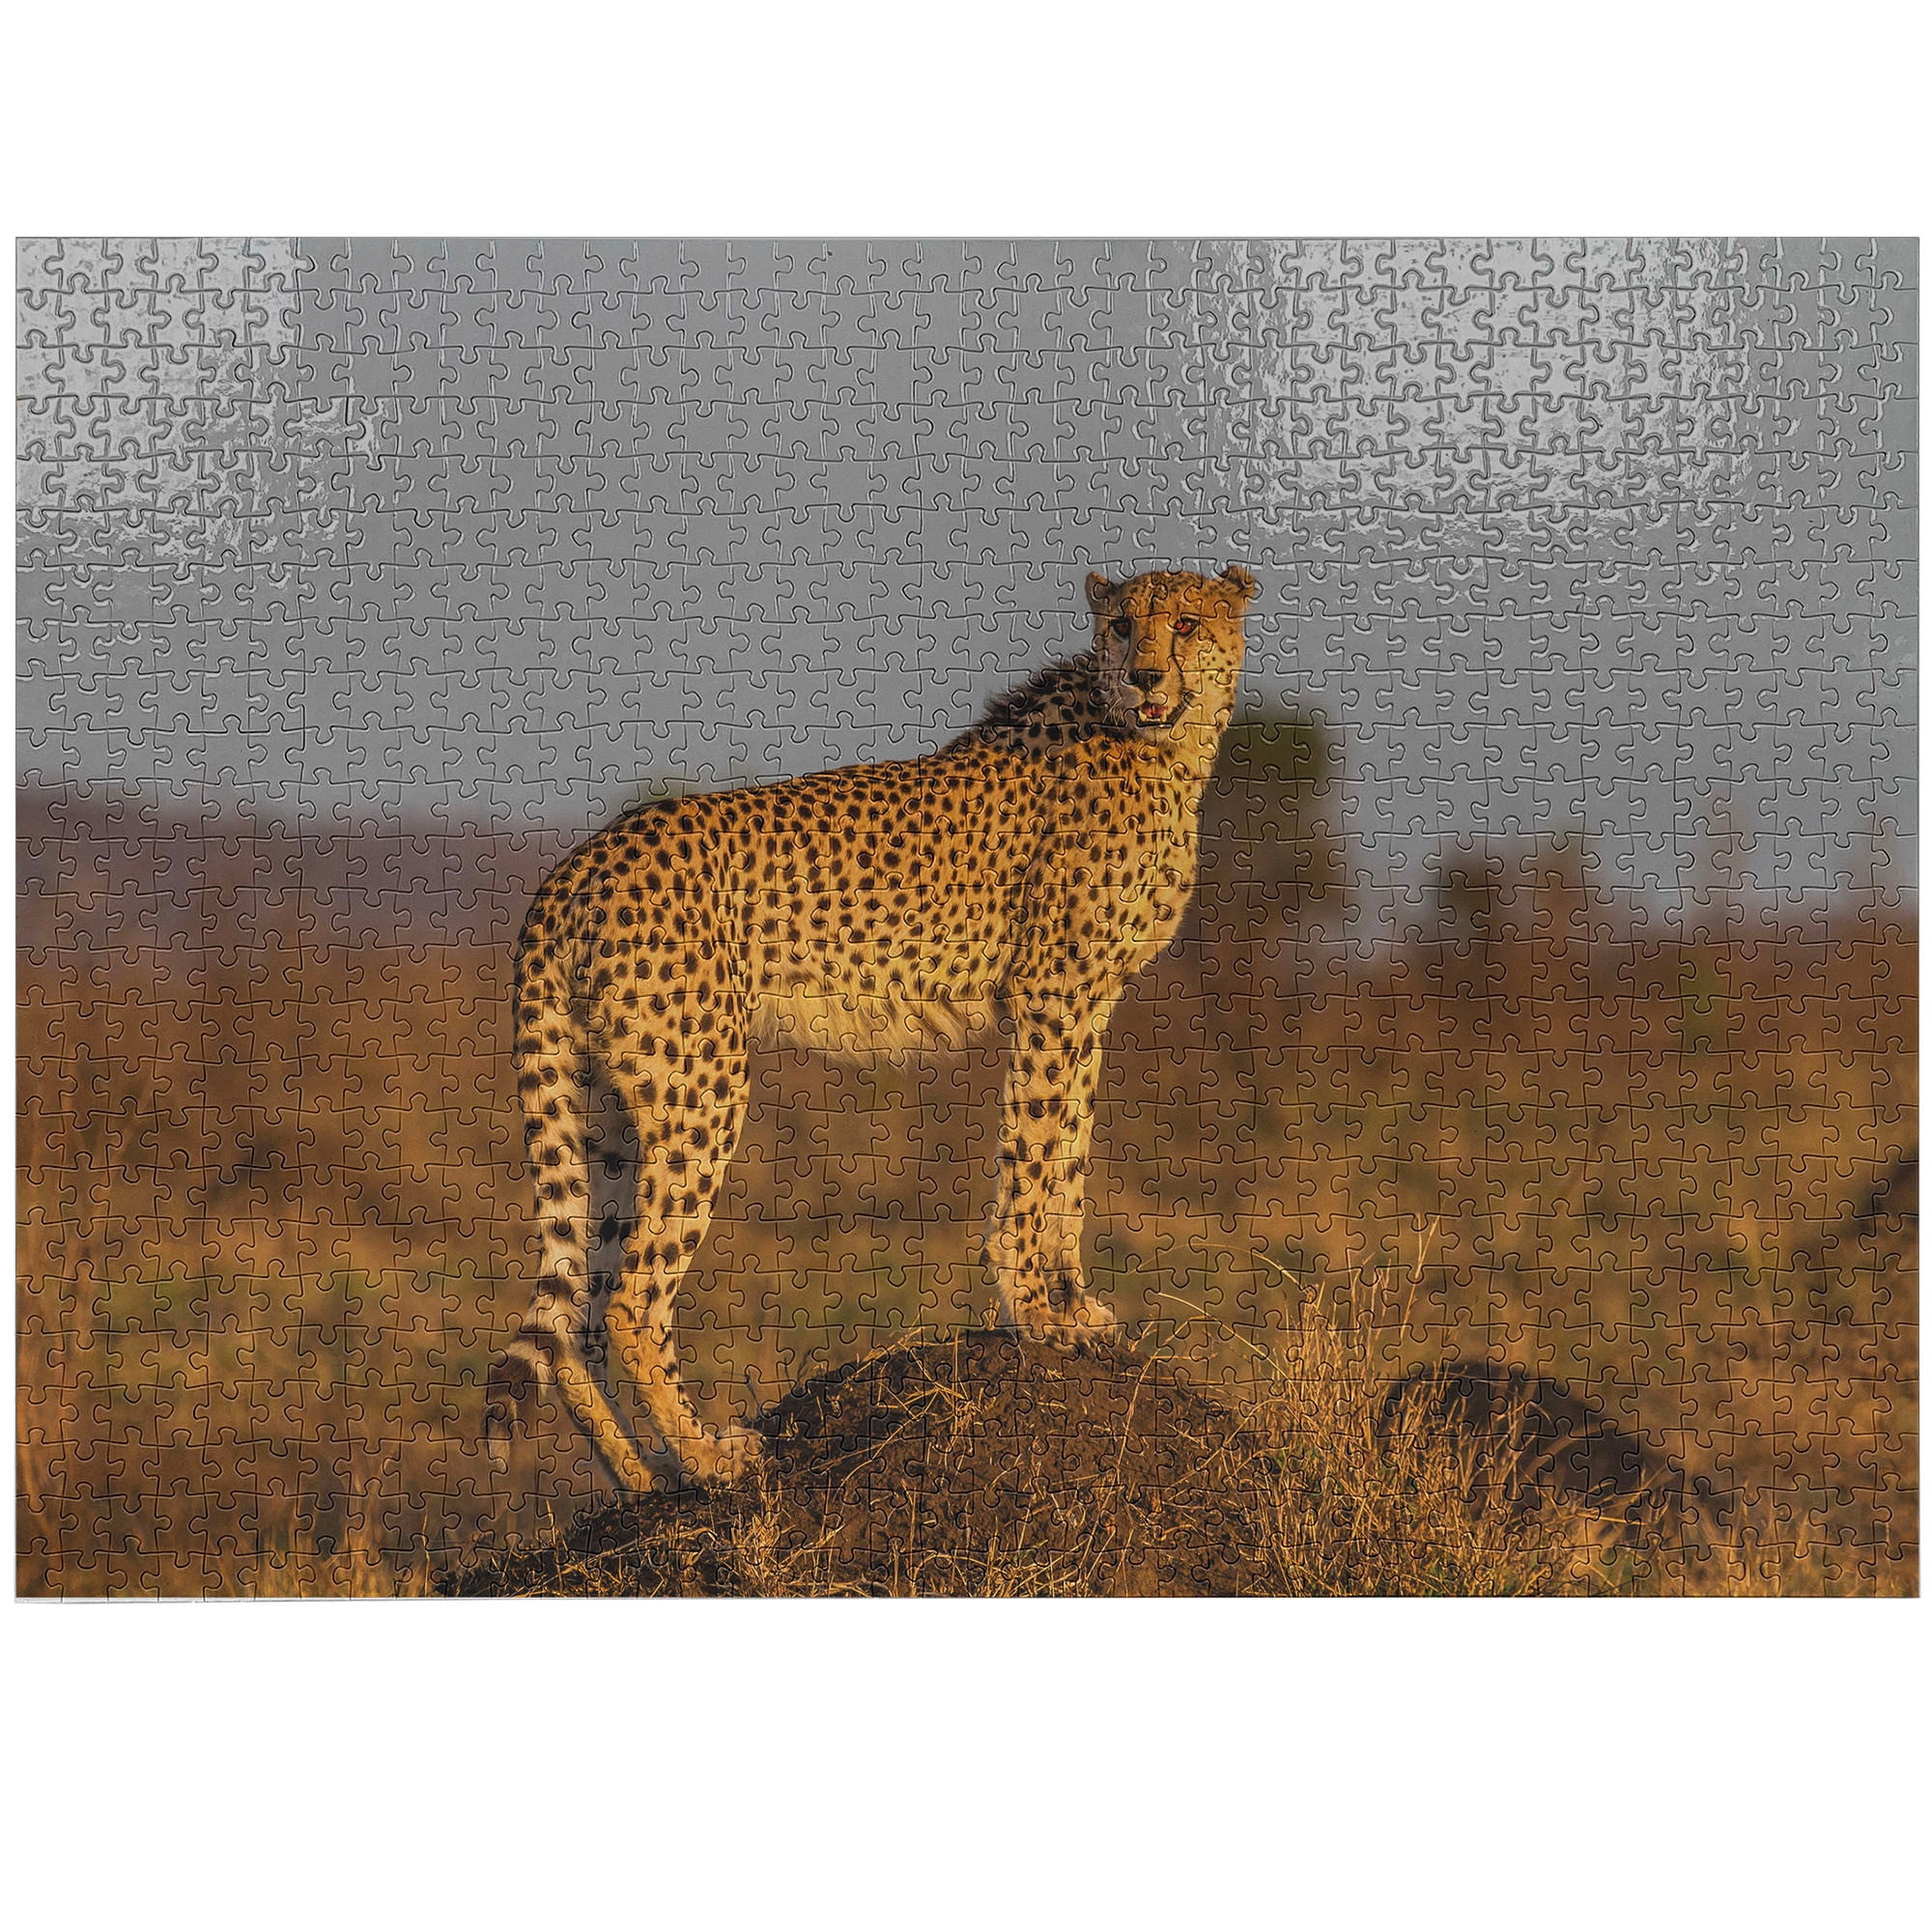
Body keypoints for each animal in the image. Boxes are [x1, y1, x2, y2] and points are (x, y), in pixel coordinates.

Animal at [483, 563, 1258, 1493]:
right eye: (1120, 626)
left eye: (1186, 624)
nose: (1143, 675)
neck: (1163, 747)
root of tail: (580, 861)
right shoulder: (1051, 994)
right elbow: (1035, 1159)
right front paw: (1036, 1315)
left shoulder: (1091, 1002)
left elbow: (1070, 1157)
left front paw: (1077, 1311)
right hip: (701, 1085)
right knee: (634, 1299)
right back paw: (709, 1459)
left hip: (606, 1107)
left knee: (579, 1315)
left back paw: (644, 1479)